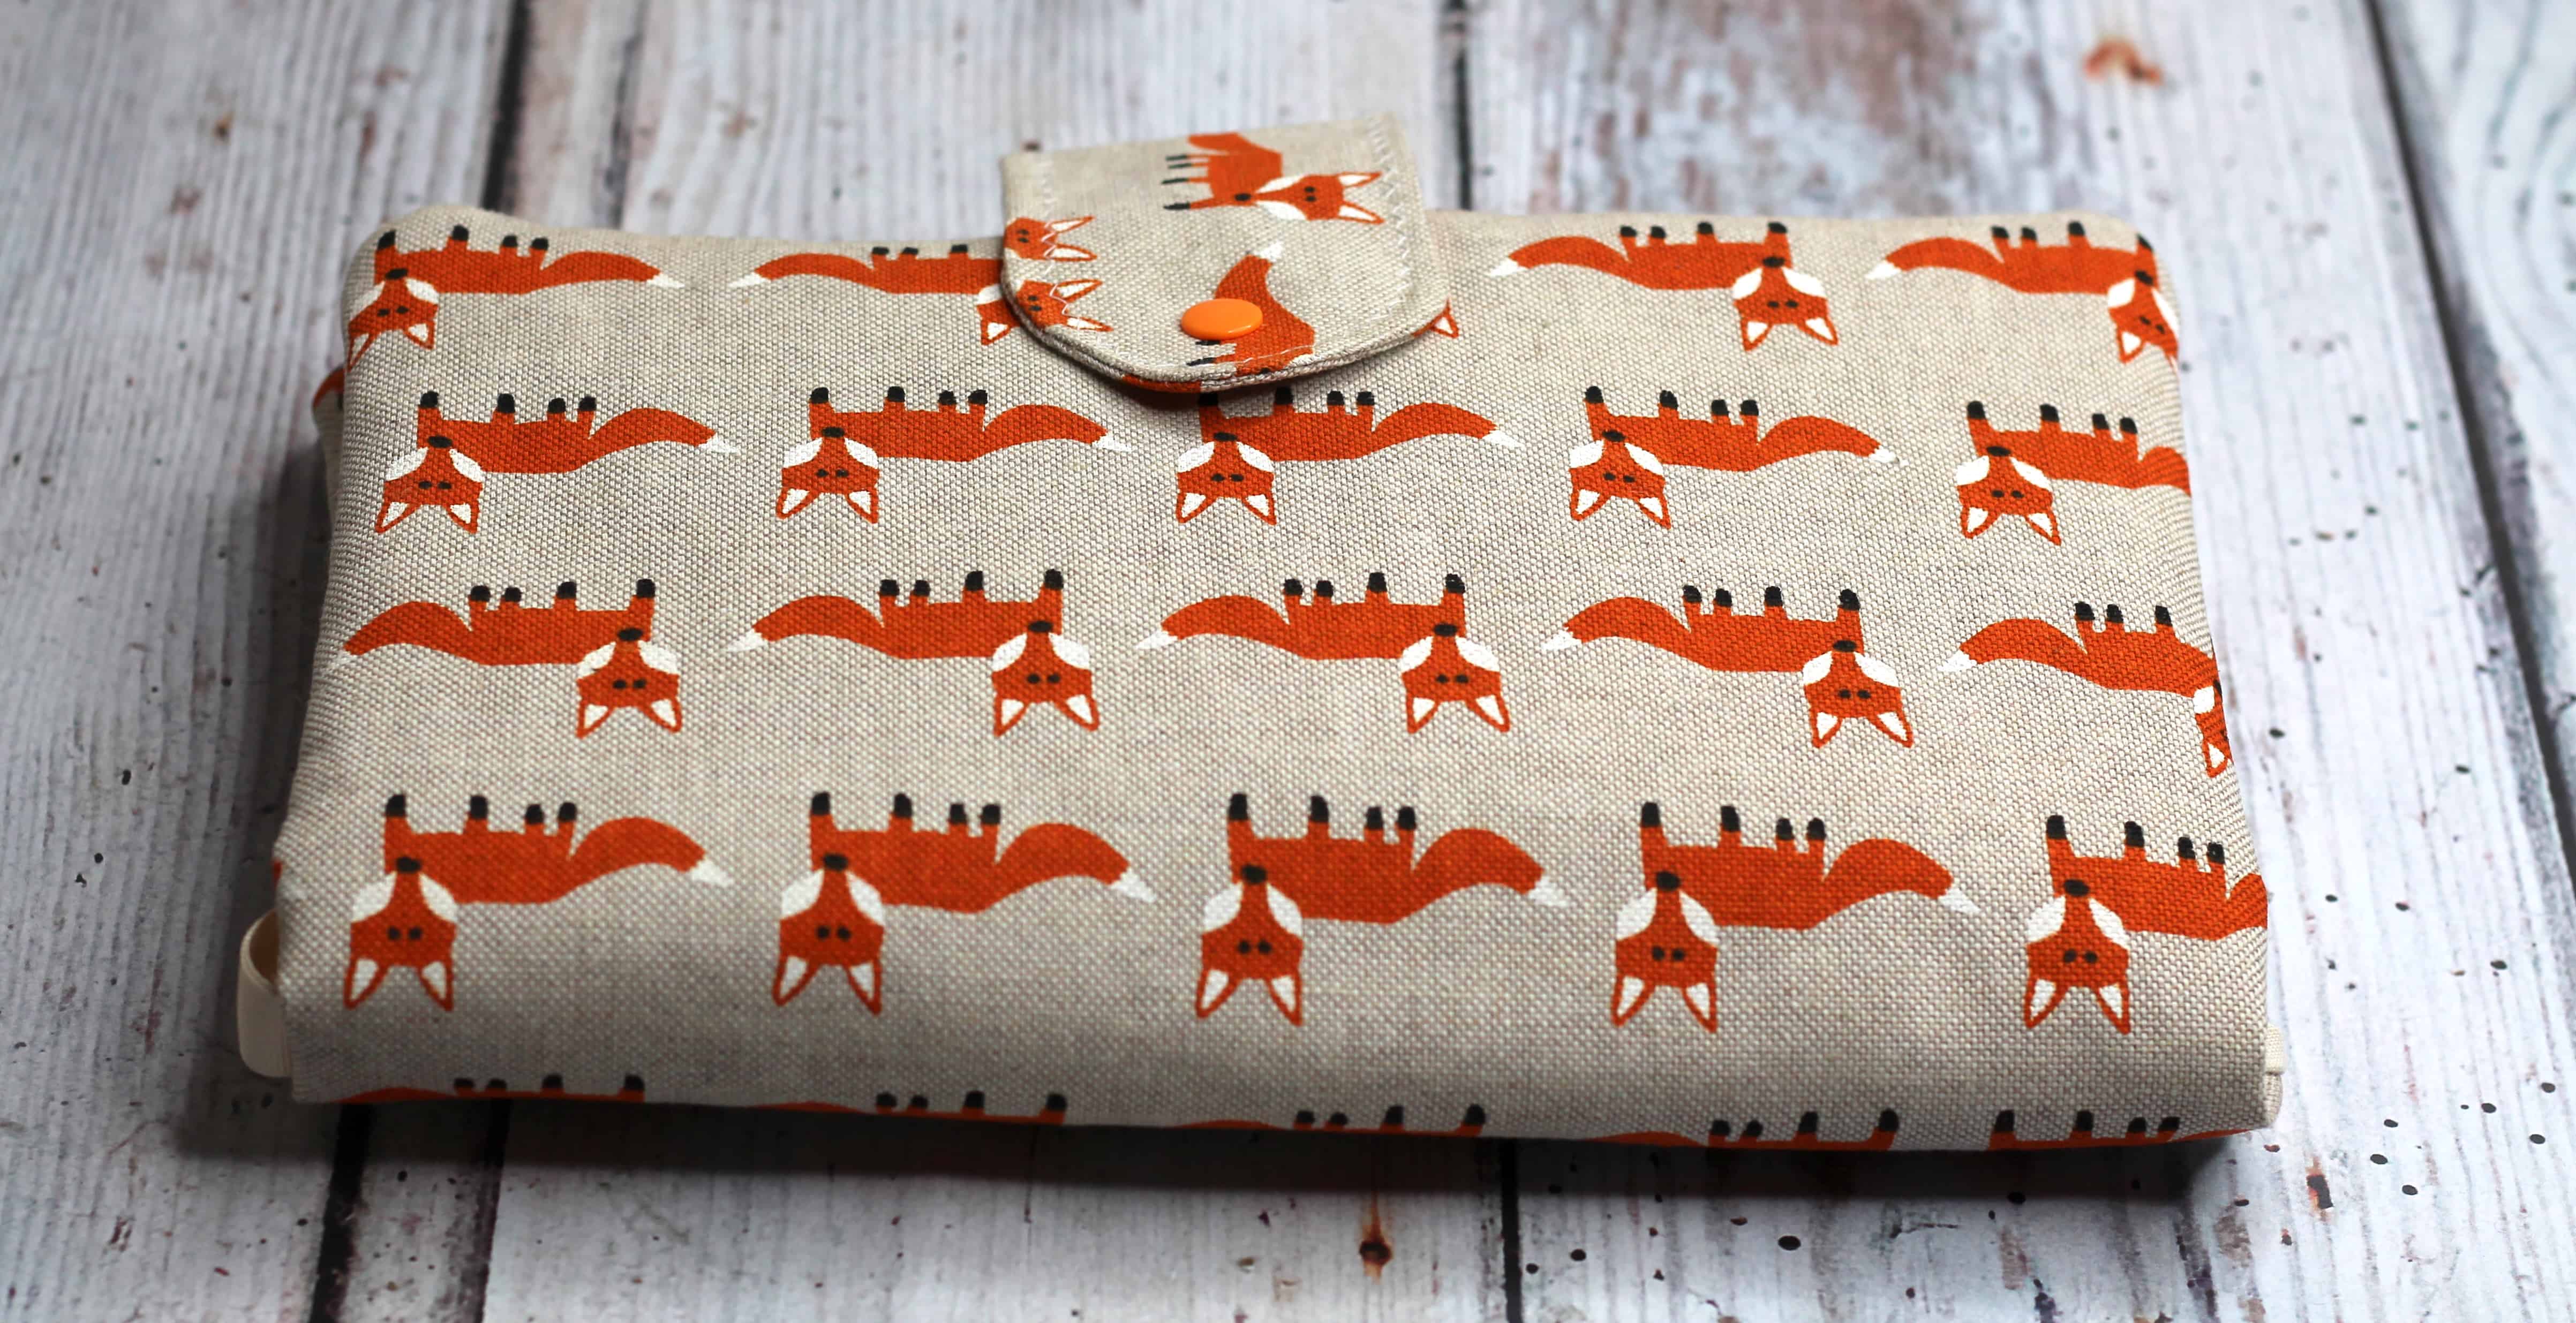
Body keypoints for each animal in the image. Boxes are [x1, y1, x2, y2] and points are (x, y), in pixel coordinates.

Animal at [348, 792, 725, 1009]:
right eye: (397, 931)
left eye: (413, 932)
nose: (408, 868)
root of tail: (568, 880)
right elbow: (400, 824)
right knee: (558, 833)